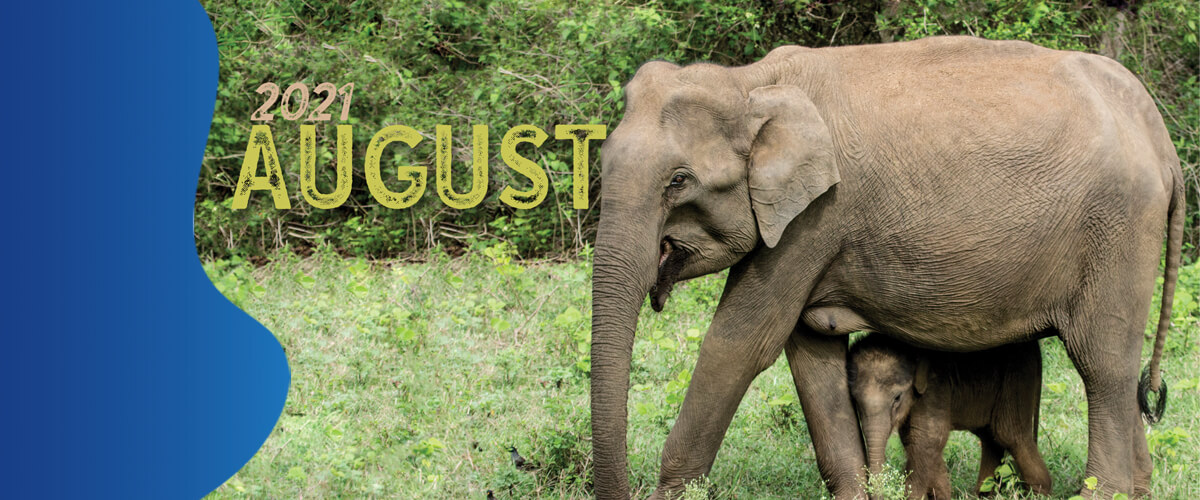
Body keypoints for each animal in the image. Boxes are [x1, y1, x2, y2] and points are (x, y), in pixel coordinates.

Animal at [846, 334, 1051, 499]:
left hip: (1017, 374)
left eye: (897, 398)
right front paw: (942, 496)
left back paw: (1039, 495)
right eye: (854, 400)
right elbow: (915, 440)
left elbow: (926, 438)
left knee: (1007, 432)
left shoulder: (935, 385)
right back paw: (984, 495)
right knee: (990, 435)